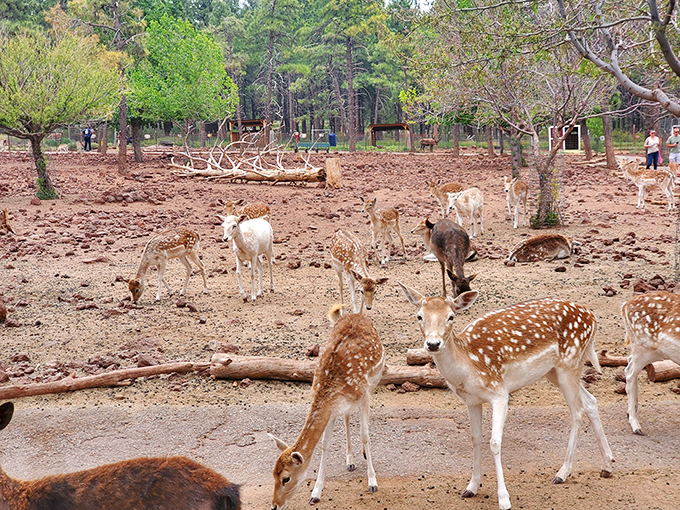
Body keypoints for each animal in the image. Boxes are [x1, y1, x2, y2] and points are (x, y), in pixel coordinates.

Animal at [269, 304, 385, 509]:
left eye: (286, 478)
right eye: (272, 473)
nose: (274, 505)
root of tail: (356, 314)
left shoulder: (364, 396)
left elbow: (365, 436)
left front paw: (372, 482)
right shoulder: (332, 409)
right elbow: (325, 444)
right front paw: (315, 493)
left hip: (375, 380)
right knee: (347, 417)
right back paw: (350, 460)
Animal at [398, 283, 614, 510]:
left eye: (451, 316)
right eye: (419, 316)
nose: (433, 344)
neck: (467, 368)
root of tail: (591, 316)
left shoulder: (500, 393)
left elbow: (495, 442)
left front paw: (504, 499)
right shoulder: (471, 401)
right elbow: (475, 439)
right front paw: (471, 487)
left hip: (570, 362)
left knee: (577, 411)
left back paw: (562, 473)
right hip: (554, 371)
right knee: (591, 401)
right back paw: (607, 465)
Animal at [621, 290, 680, 436]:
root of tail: (625, 305)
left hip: (652, 351)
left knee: (629, 363)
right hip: (643, 346)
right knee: (630, 372)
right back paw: (636, 425)